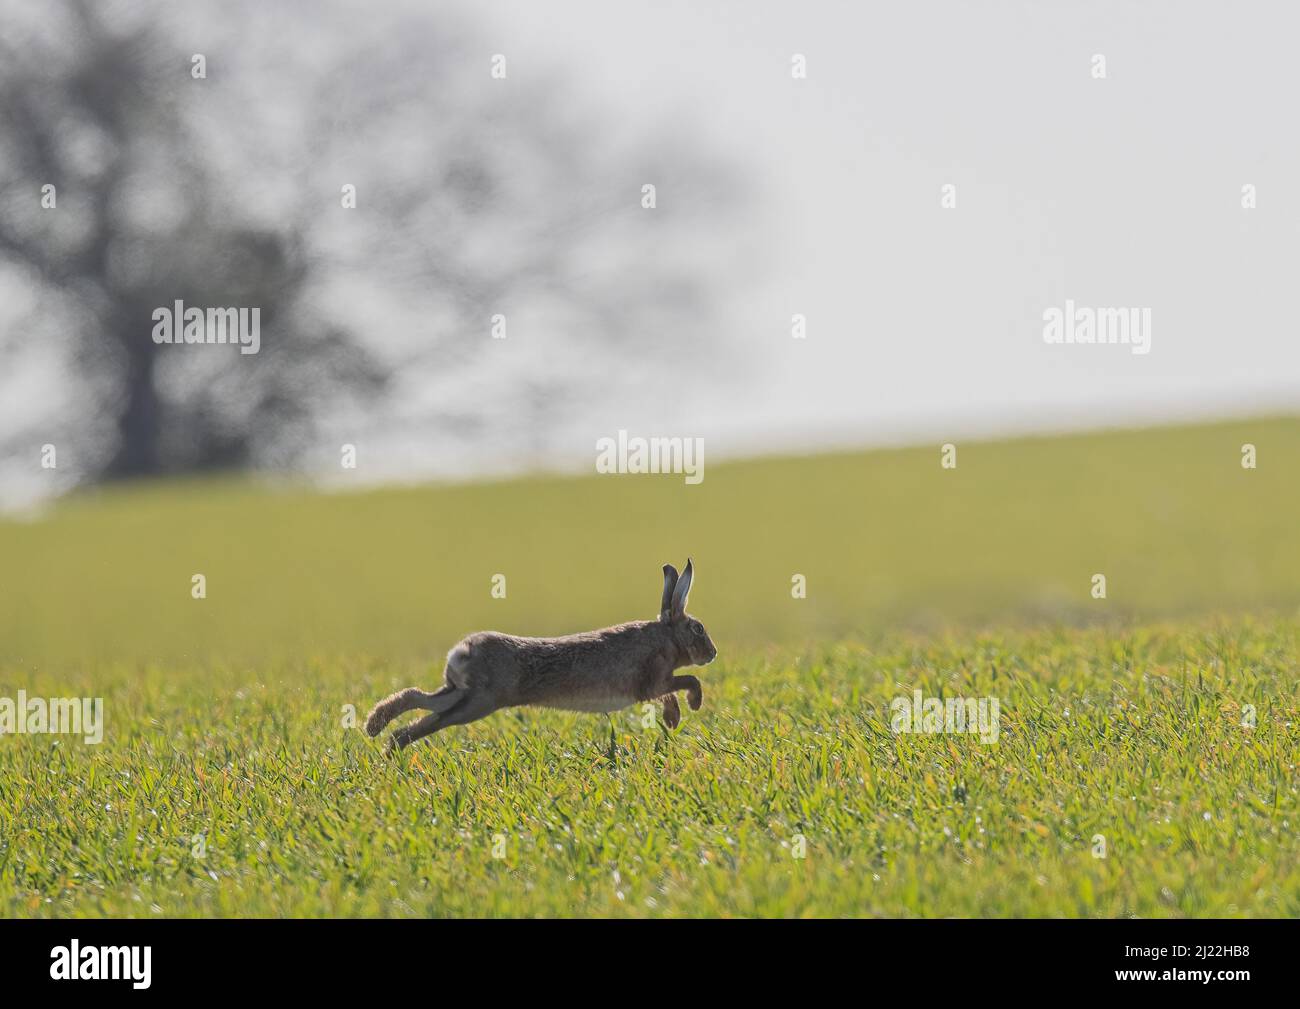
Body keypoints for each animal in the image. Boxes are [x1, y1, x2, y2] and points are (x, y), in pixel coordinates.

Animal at [365, 558, 717, 751]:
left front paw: (672, 719)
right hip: (480, 702)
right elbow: (688, 680)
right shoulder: (652, 681)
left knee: (418, 698)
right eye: (698, 628)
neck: (665, 637)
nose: (712, 653)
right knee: (433, 721)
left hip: (461, 693)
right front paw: (691, 706)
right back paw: (391, 746)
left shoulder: (656, 684)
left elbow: (672, 690)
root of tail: (462, 651)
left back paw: (377, 730)